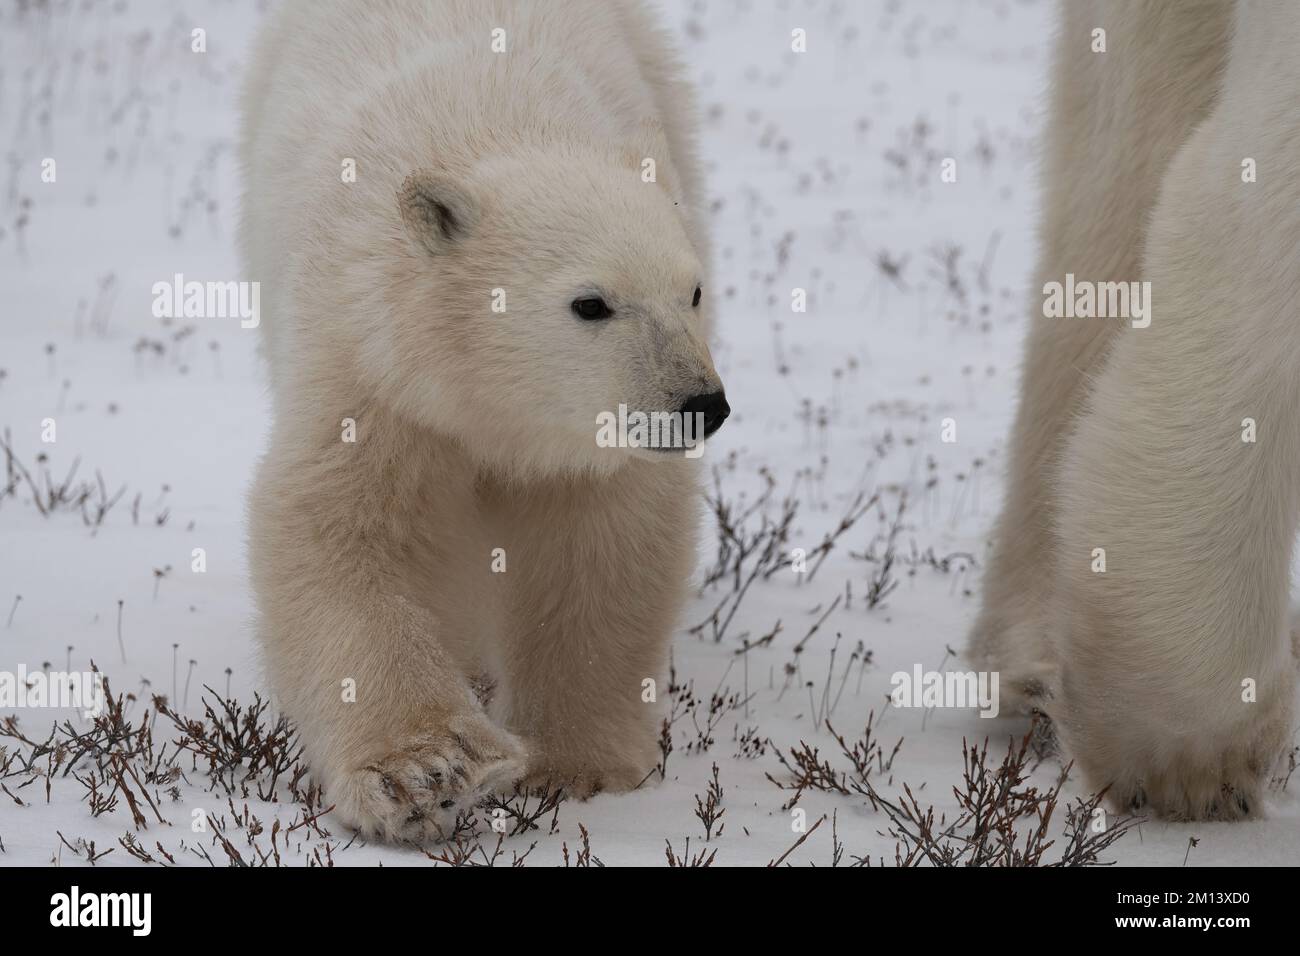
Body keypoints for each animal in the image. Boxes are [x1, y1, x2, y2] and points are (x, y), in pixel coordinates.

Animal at [238, 0, 727, 843]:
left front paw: (579, 764)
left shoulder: (589, 438)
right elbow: (337, 526)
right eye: (591, 302)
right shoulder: (375, 371)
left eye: (690, 292)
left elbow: (601, 546)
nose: (701, 406)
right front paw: (426, 773)